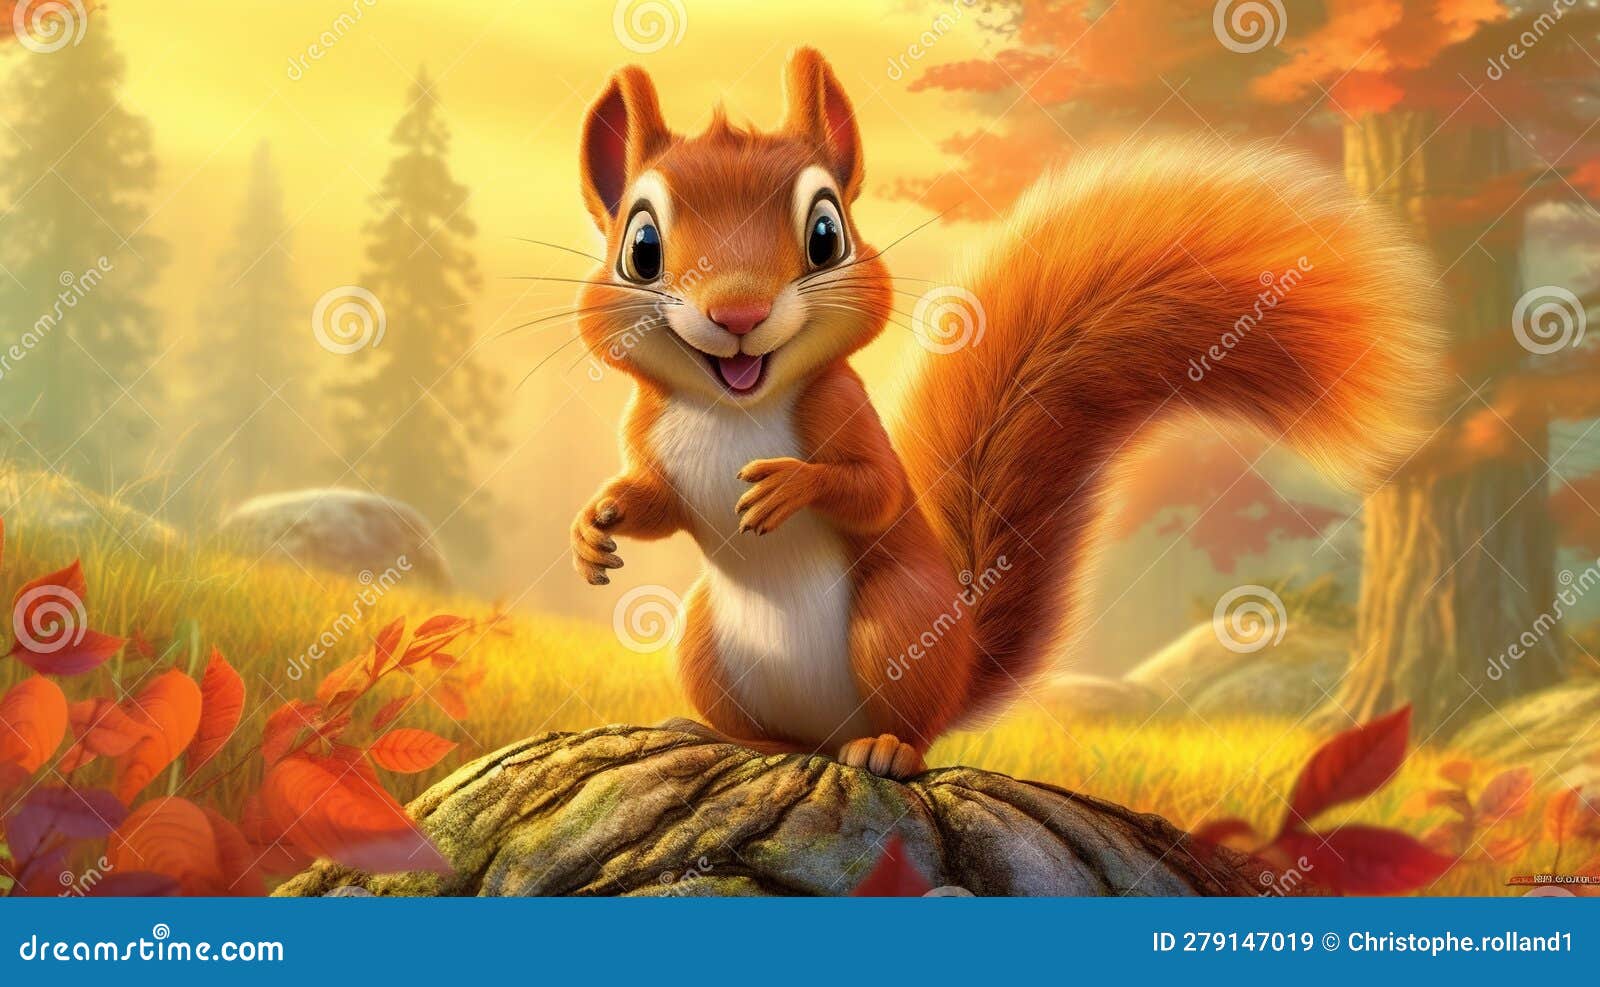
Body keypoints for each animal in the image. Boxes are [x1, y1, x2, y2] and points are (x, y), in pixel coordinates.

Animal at [568, 48, 1441, 780]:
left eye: (825, 233)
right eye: (640, 246)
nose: (740, 313)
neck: (731, 406)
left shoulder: (841, 409)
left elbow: (874, 490)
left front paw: (790, 485)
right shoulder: (646, 433)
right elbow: (659, 500)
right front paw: (594, 525)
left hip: (898, 623)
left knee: (913, 727)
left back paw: (886, 750)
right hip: (704, 645)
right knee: (775, 732)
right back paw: (726, 734)